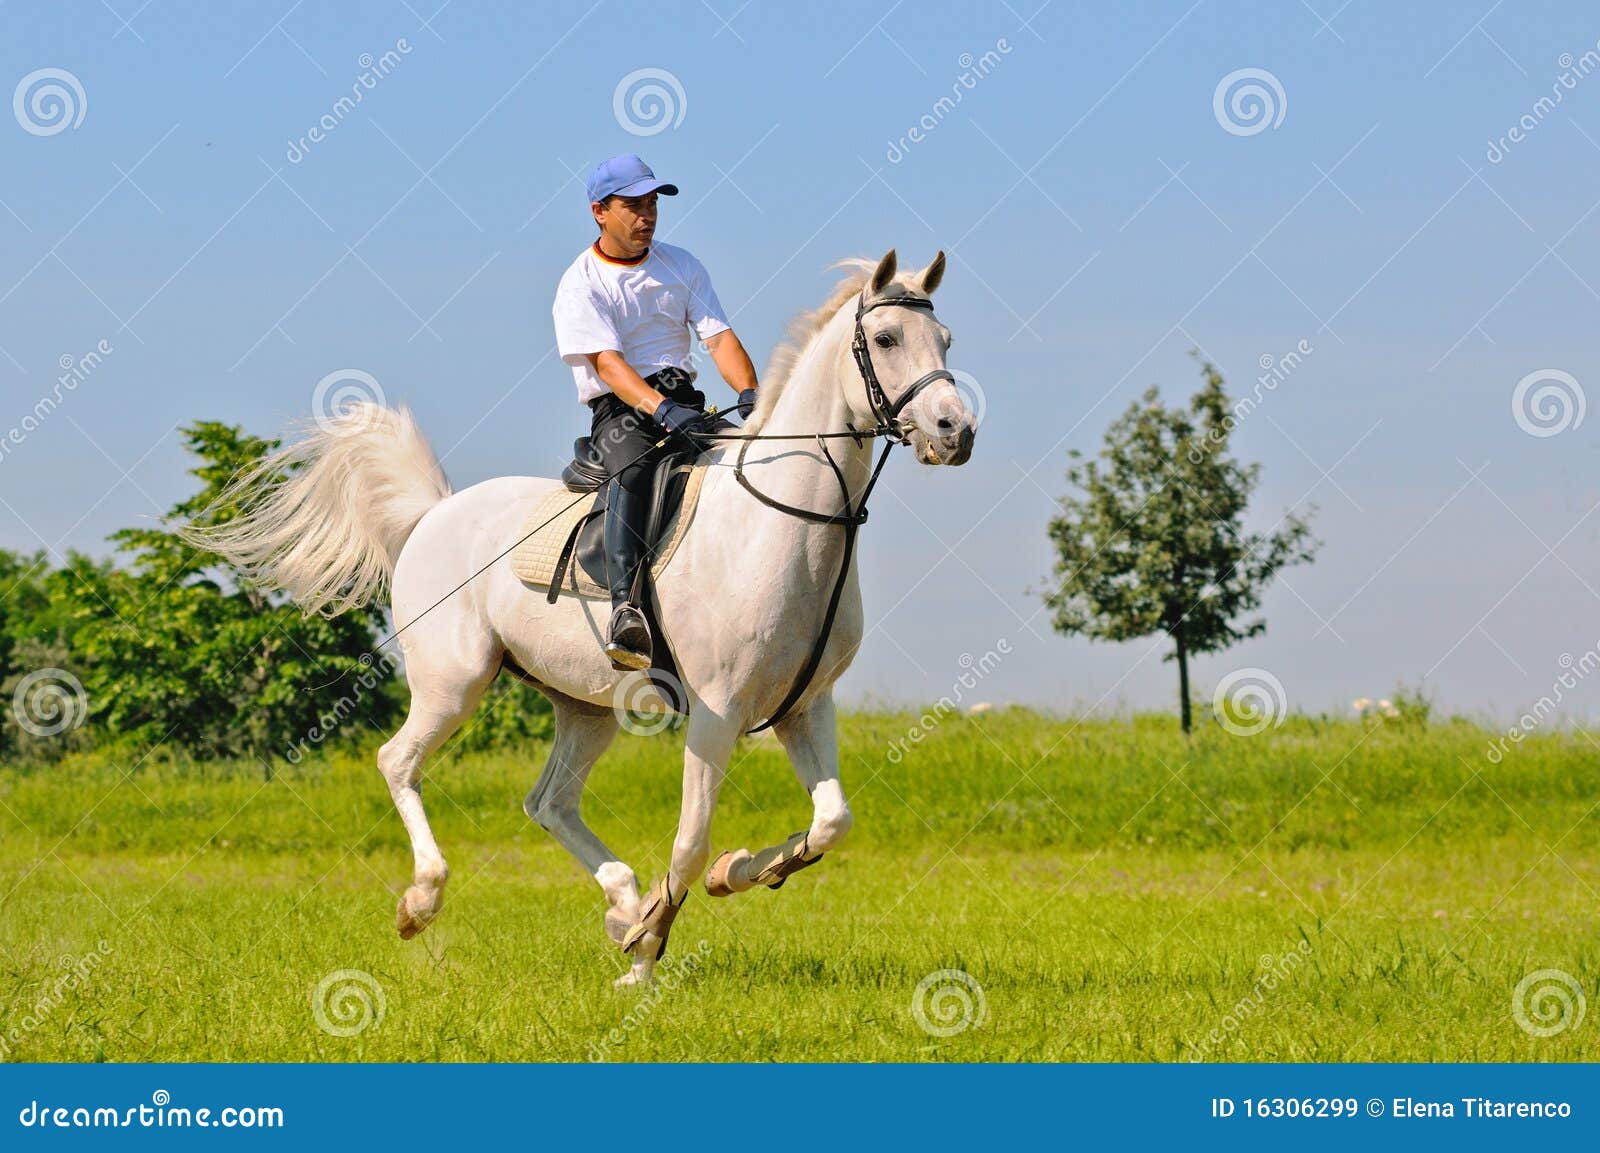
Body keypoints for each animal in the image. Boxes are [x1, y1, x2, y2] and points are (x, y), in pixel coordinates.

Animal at [188, 249, 976, 986]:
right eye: (884, 338)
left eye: (944, 337)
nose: (955, 430)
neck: (782, 525)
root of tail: (433, 514)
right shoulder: (717, 712)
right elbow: (689, 841)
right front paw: (645, 957)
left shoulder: (804, 707)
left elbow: (831, 821)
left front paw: (730, 875)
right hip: (454, 682)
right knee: (399, 761)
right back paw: (424, 902)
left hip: (587, 707)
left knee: (549, 802)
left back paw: (621, 899)